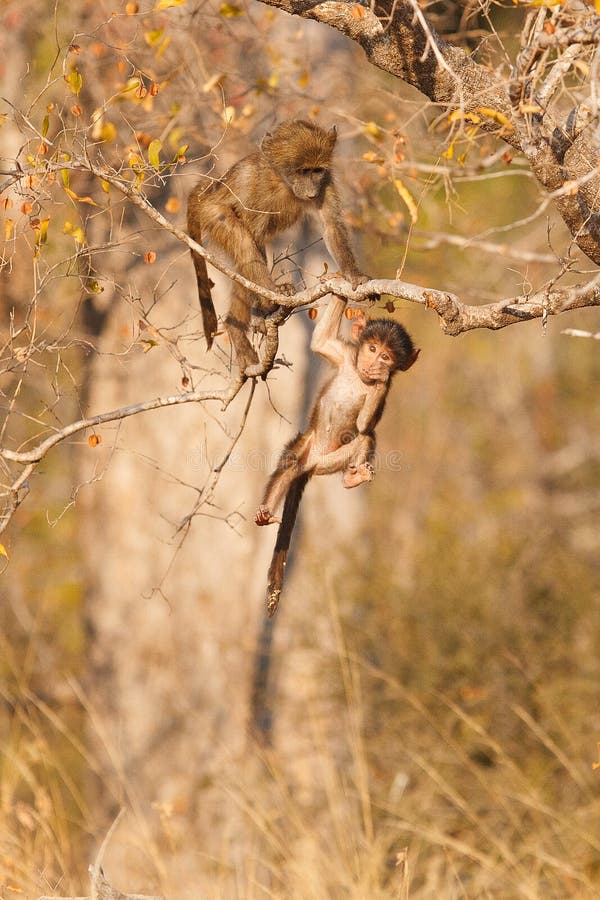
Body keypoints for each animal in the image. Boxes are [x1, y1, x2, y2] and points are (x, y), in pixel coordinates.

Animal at [187, 119, 367, 373]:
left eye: (316, 171)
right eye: (303, 171)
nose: (311, 193)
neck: (283, 181)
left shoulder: (326, 182)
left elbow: (331, 225)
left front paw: (354, 274)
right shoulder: (255, 186)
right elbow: (254, 238)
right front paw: (261, 311)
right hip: (212, 213)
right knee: (245, 247)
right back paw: (265, 302)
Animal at [255, 294, 420, 616]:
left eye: (386, 357)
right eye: (371, 349)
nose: (373, 364)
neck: (359, 376)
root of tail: (313, 464)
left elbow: (365, 425)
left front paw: (381, 380)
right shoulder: (345, 354)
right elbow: (320, 341)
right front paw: (343, 286)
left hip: (330, 463)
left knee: (365, 438)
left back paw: (352, 478)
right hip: (306, 446)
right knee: (288, 468)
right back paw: (266, 513)